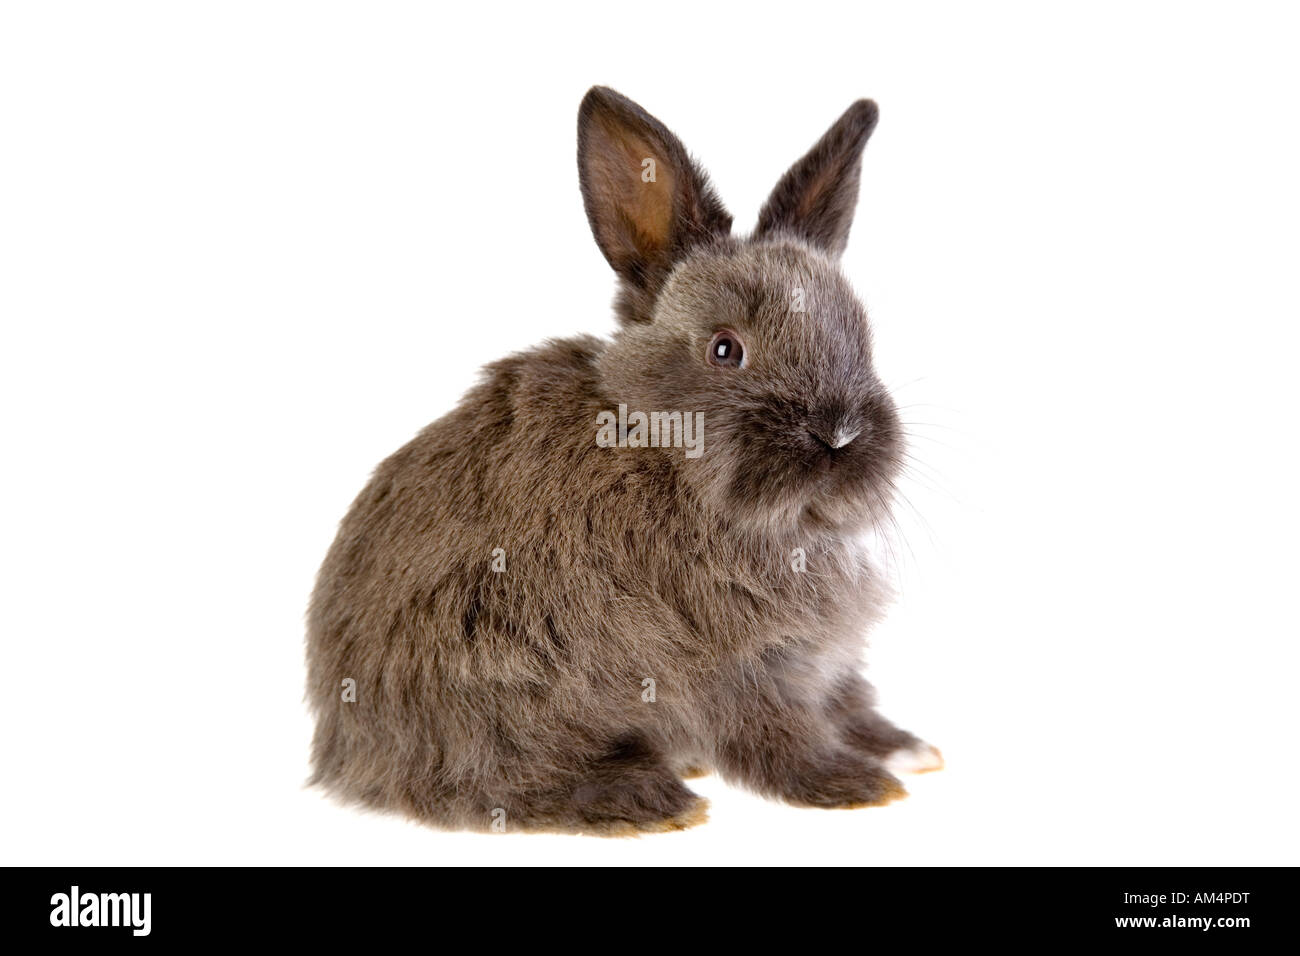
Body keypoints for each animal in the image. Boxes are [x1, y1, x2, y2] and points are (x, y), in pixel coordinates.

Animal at [305, 86, 942, 834]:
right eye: (725, 349)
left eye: (863, 337)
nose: (840, 436)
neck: (666, 452)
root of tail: (340, 747)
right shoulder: (735, 664)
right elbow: (774, 734)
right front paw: (855, 783)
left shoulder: (821, 662)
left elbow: (849, 703)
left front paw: (907, 752)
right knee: (488, 781)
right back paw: (645, 796)